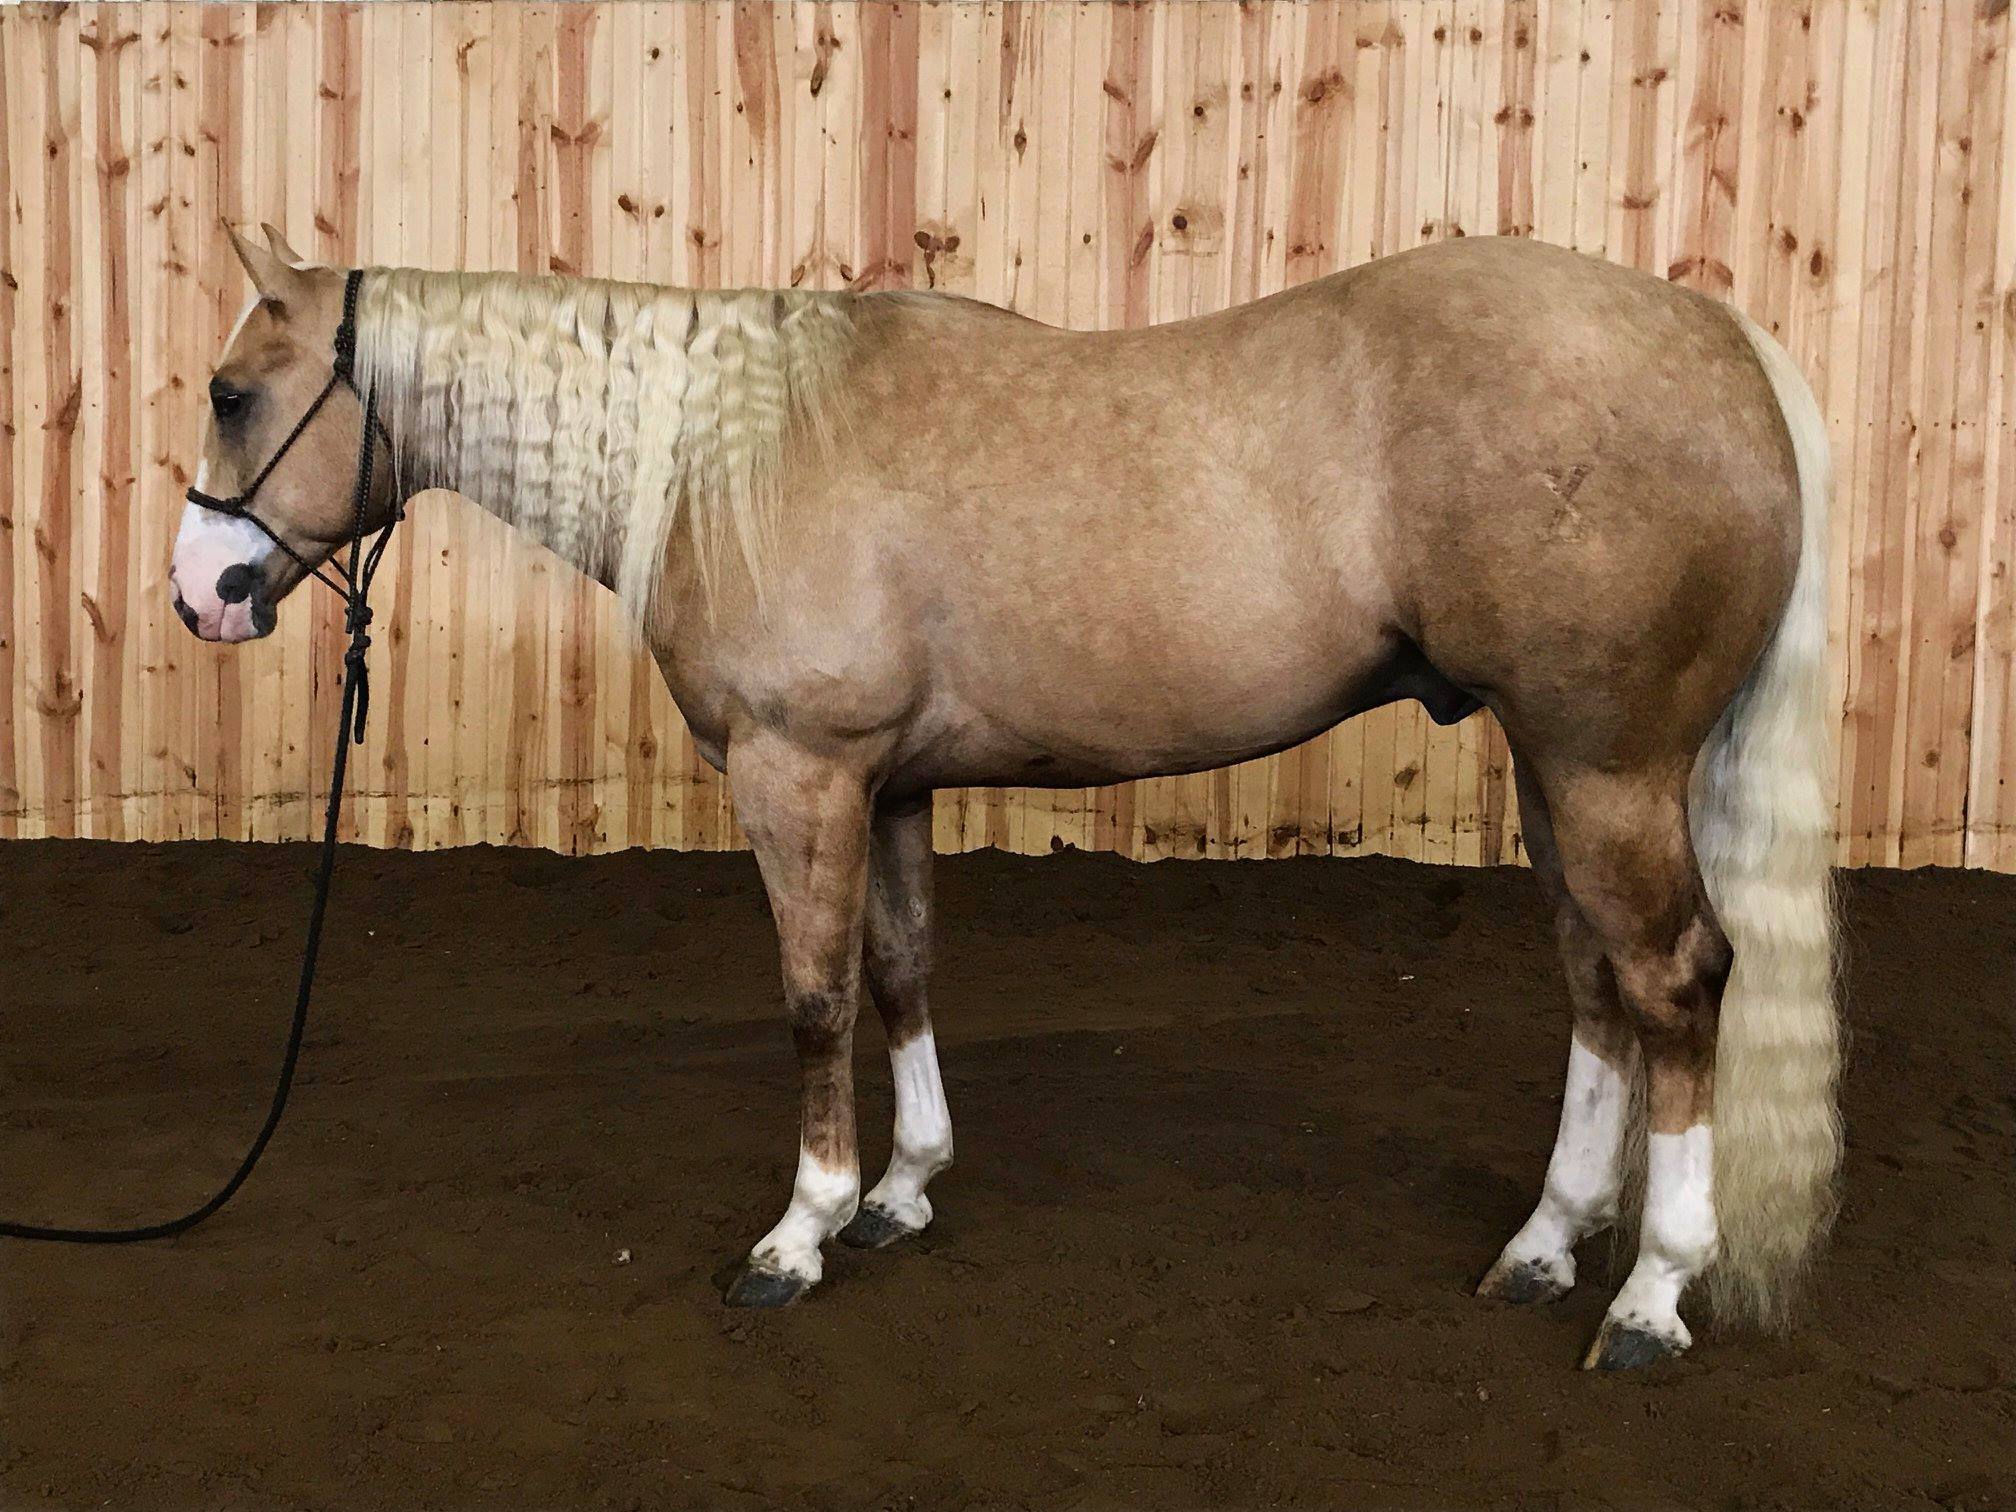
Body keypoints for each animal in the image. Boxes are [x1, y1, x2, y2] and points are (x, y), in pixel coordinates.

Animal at [172, 224, 1841, 1370]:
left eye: (233, 392)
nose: (203, 594)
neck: (733, 449)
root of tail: (1720, 340)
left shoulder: (797, 773)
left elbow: (815, 1001)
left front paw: (801, 1231)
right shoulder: (889, 785)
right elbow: (902, 972)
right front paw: (903, 1191)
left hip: (1608, 767)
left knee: (1678, 982)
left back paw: (1651, 1295)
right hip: (1557, 768)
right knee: (1598, 987)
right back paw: (1548, 1245)